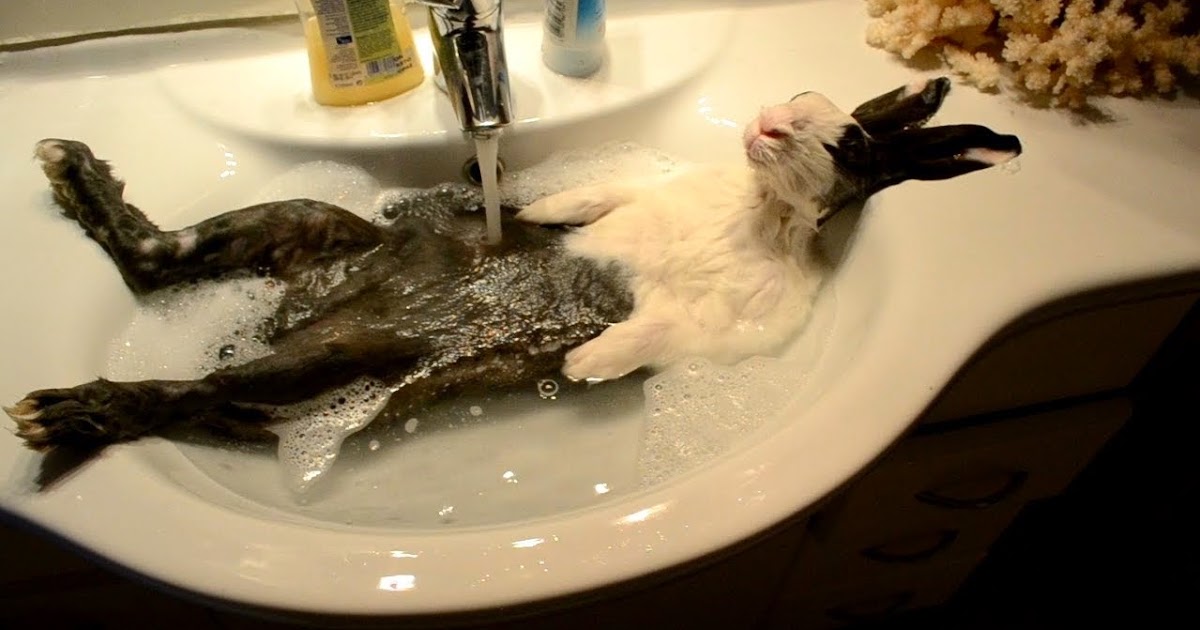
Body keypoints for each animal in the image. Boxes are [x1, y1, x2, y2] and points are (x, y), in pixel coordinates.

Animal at [6, 77, 1021, 451]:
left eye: (845, 146)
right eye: (801, 97)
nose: (765, 126)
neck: (755, 216)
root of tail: (297, 312)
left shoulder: (731, 325)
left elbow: (654, 327)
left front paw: (586, 361)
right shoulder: (639, 194)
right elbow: (595, 201)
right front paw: (537, 214)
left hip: (335, 354)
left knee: (194, 382)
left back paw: (70, 412)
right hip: (307, 230)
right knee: (155, 264)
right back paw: (71, 170)